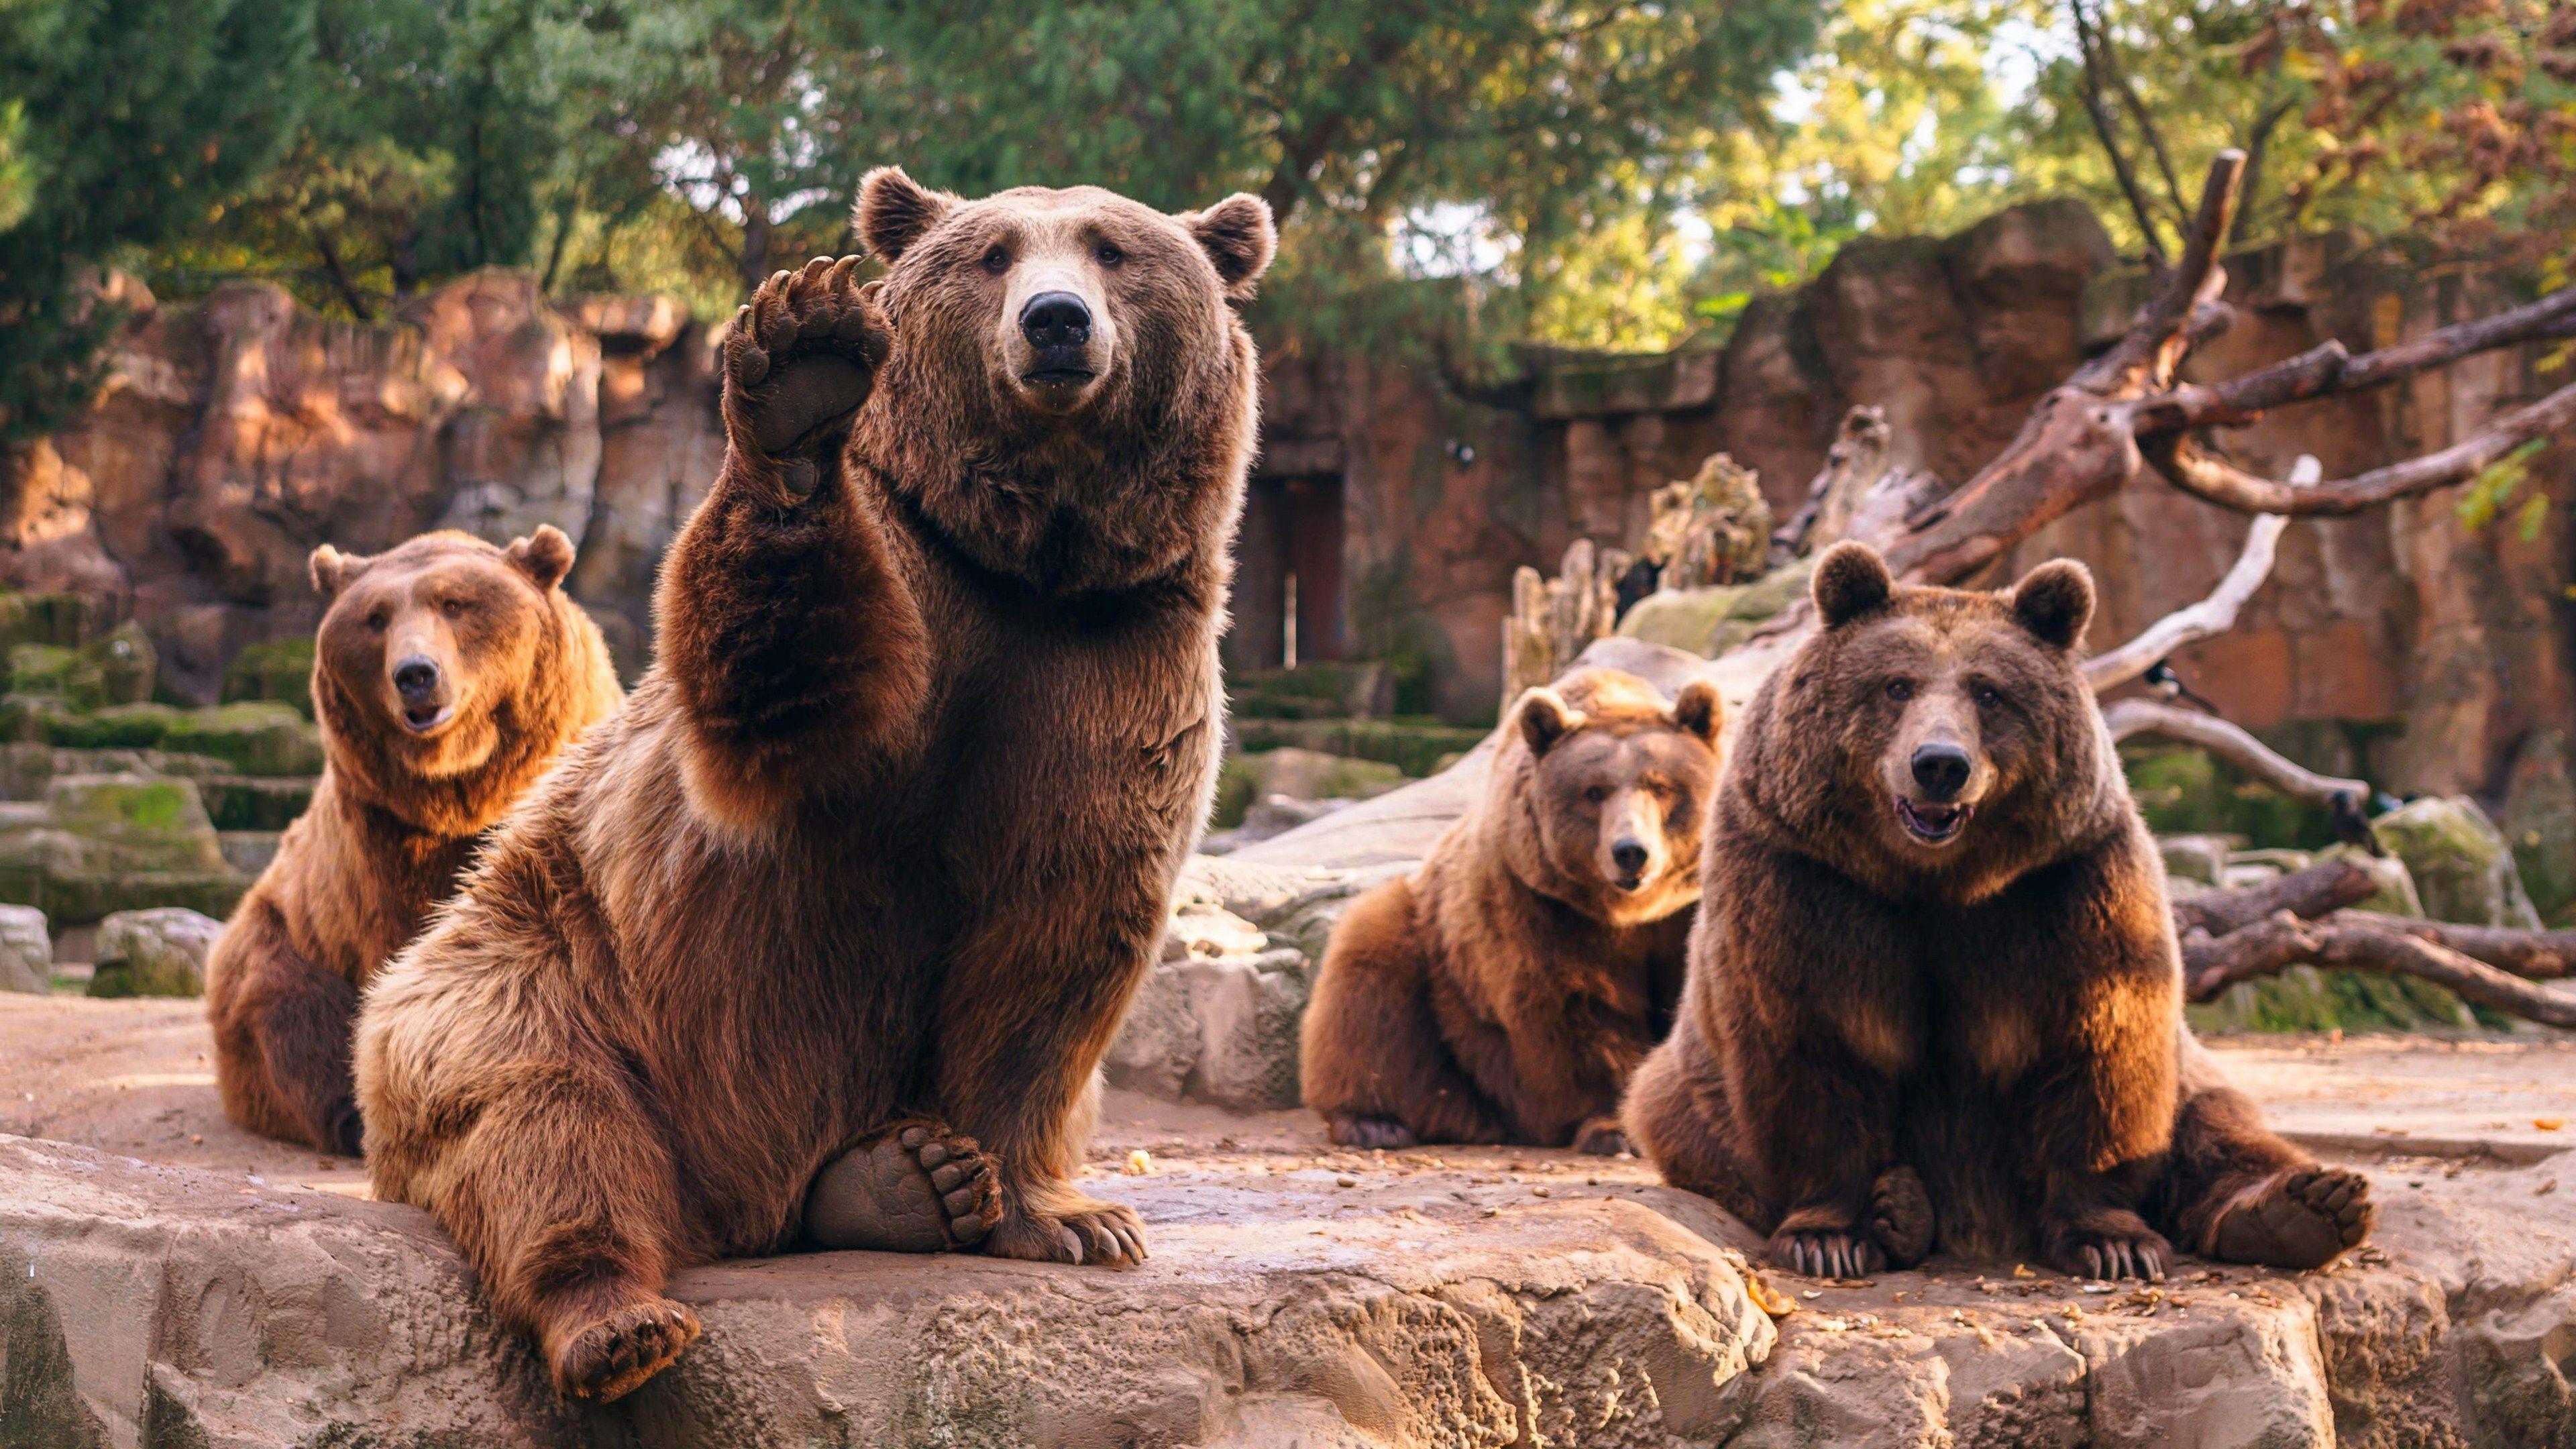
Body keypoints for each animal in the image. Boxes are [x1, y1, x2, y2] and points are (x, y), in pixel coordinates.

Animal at [204, 528, 621, 1155]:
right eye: (375, 618)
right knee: (293, 1017)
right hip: (287, 936)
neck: (465, 788)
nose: (415, 674)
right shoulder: (384, 836)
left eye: (455, 603)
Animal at [352, 170, 1277, 1401]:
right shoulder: (909, 602)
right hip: (534, 977)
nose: (1056, 322)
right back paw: (621, 1322)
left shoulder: (1112, 665)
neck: (1030, 565)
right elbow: (780, 691)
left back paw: (907, 1181)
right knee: (543, 1124)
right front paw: (804, 371)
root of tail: (735, 1209)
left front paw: (1071, 1218)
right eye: (992, 253)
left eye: (1116, 250)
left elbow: (1056, 940)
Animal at [1300, 668, 1720, 1155]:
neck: (1629, 915)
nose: (1631, 852)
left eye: (1662, 786)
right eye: (1594, 791)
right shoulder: (1537, 904)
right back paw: (1373, 1122)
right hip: (1430, 960)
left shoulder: (1687, 912)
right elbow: (1577, 1012)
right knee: (1368, 989)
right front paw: (1613, 1127)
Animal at [1622, 541, 2374, 1281]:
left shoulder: (2064, 886)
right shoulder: (1806, 880)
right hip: (1684, 1096)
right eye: (1896, 685)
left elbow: (2101, 1042)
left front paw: (2115, 1242)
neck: (1936, 881)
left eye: (1988, 691)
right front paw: (1828, 1236)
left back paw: (2307, 1206)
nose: (1939, 764)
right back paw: (1903, 1209)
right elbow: (1813, 1041)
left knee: (2218, 1124)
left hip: (2190, 1072)